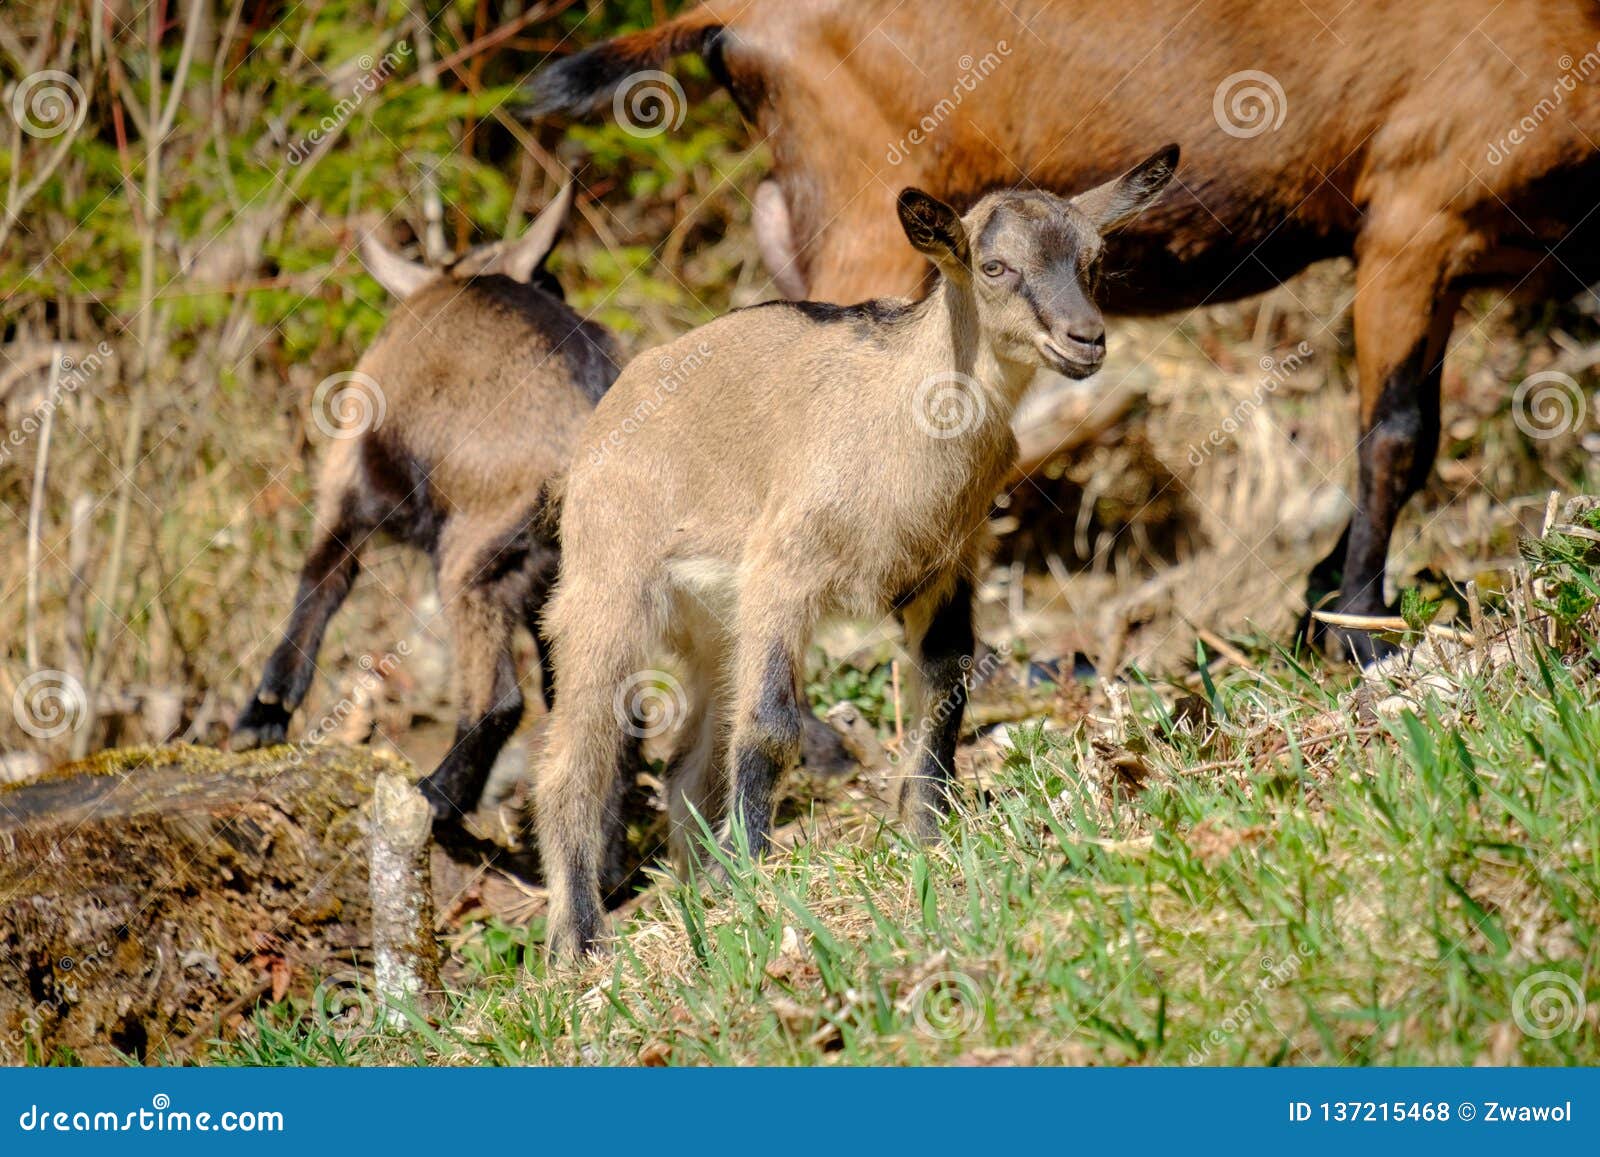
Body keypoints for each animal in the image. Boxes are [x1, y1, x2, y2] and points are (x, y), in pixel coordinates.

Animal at [231, 184, 623, 824]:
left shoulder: (345, 490)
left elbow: (322, 579)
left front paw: (264, 713)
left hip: (472, 561)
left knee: (500, 699)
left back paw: (437, 797)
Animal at [522, 0, 1600, 662]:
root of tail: (741, 18)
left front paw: (1317, 604)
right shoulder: (1420, 210)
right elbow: (1396, 438)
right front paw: (1359, 629)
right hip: (872, 196)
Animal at [535, 149, 1179, 956]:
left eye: (1095, 260)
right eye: (994, 266)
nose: (1086, 339)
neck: (904, 413)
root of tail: (603, 421)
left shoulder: (945, 569)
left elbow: (947, 683)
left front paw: (927, 834)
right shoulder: (782, 571)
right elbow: (773, 725)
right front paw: (753, 883)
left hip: (712, 627)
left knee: (686, 767)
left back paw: (692, 892)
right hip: (607, 592)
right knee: (573, 761)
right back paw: (583, 943)